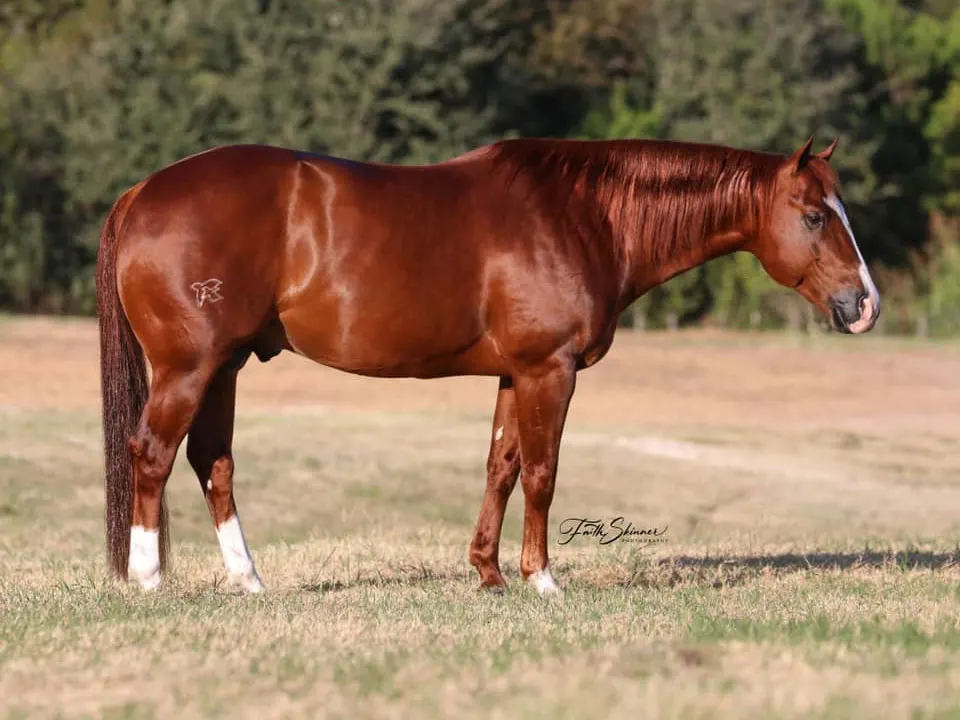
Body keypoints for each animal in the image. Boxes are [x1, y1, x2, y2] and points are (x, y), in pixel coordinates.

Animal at [96, 135, 880, 595]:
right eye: (815, 215)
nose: (864, 305)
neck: (583, 215)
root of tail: (141, 192)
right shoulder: (549, 369)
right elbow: (541, 473)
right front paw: (542, 581)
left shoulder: (514, 372)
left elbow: (501, 467)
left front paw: (490, 574)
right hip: (189, 367)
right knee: (153, 453)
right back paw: (149, 580)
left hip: (224, 367)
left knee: (211, 462)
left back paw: (249, 580)